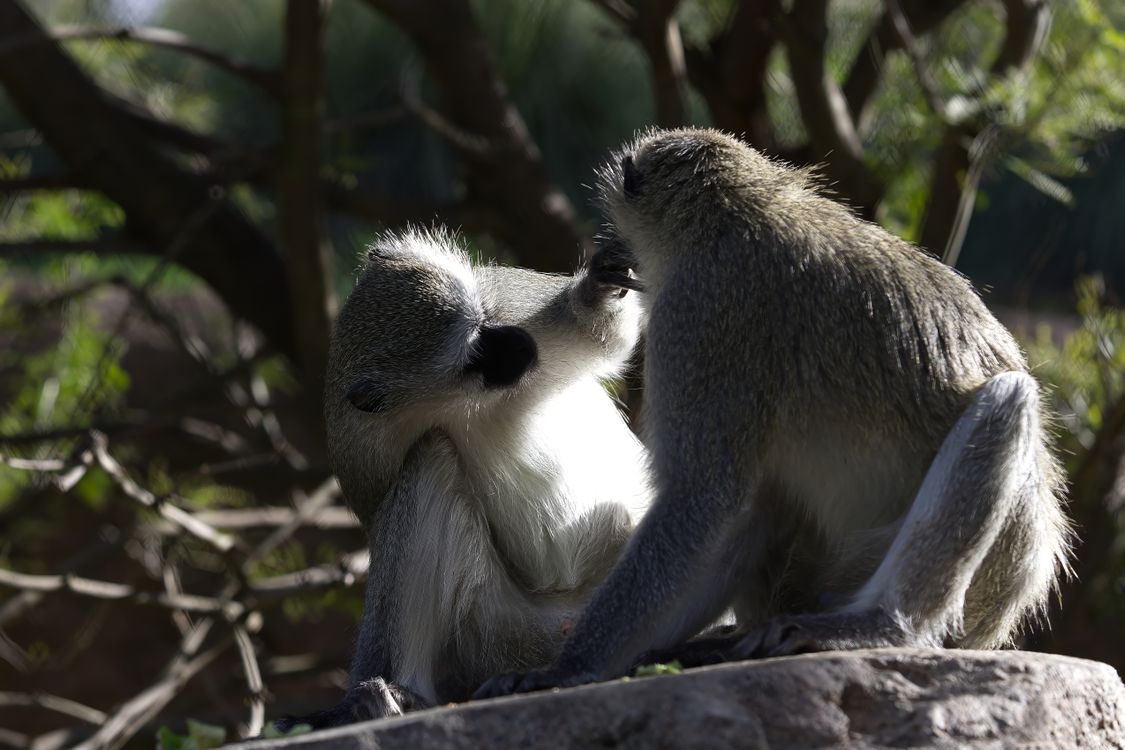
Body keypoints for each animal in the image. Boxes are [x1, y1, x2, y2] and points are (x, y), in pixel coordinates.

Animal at [278, 227, 651, 729]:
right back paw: (404, 696)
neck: (459, 401)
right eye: (472, 355)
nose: (520, 344)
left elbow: (605, 337)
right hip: (503, 635)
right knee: (429, 459)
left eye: (486, 319)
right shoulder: (361, 445)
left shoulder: (511, 300)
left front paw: (599, 287)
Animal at [475, 128, 1072, 698]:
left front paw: (565, 668)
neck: (736, 215)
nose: (612, 253)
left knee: (1008, 398)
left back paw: (883, 626)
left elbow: (700, 498)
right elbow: (734, 509)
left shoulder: (698, 316)